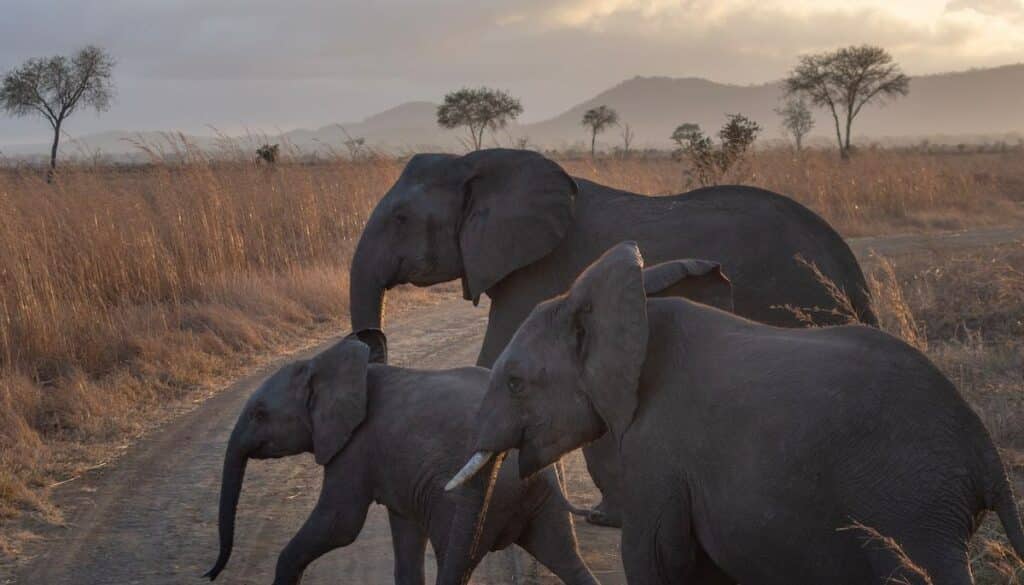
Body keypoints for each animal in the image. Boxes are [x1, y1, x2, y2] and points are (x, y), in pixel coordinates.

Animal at [204, 330, 598, 585]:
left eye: (259, 414)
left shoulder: (355, 448)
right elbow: (404, 533)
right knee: (567, 558)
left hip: (469, 502)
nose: (210, 573)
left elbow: (340, 523)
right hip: (542, 500)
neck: (327, 363)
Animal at [349, 148, 876, 525]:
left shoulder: (539, 270)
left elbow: (494, 358)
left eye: (401, 219)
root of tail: (849, 267)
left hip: (797, 302)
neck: (478, 161)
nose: (374, 341)